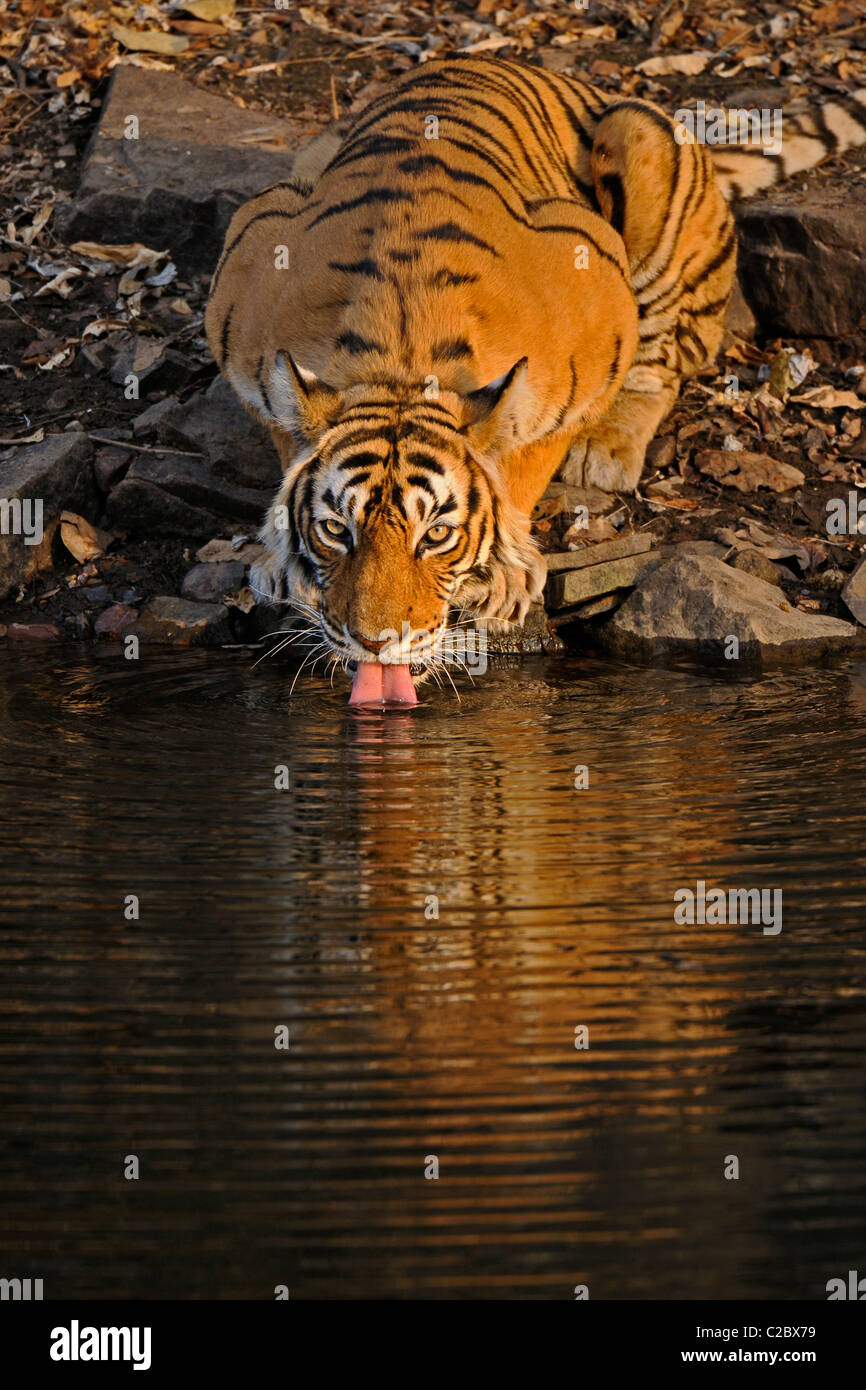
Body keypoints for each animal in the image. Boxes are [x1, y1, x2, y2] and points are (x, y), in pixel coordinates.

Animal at [205, 54, 866, 703]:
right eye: (336, 530)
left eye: (436, 535)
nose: (377, 644)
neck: (398, 361)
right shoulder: (251, 258)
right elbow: (287, 436)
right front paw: (279, 564)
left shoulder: (598, 307)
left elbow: (528, 460)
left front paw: (509, 577)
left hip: (642, 151)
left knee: (668, 355)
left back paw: (604, 452)